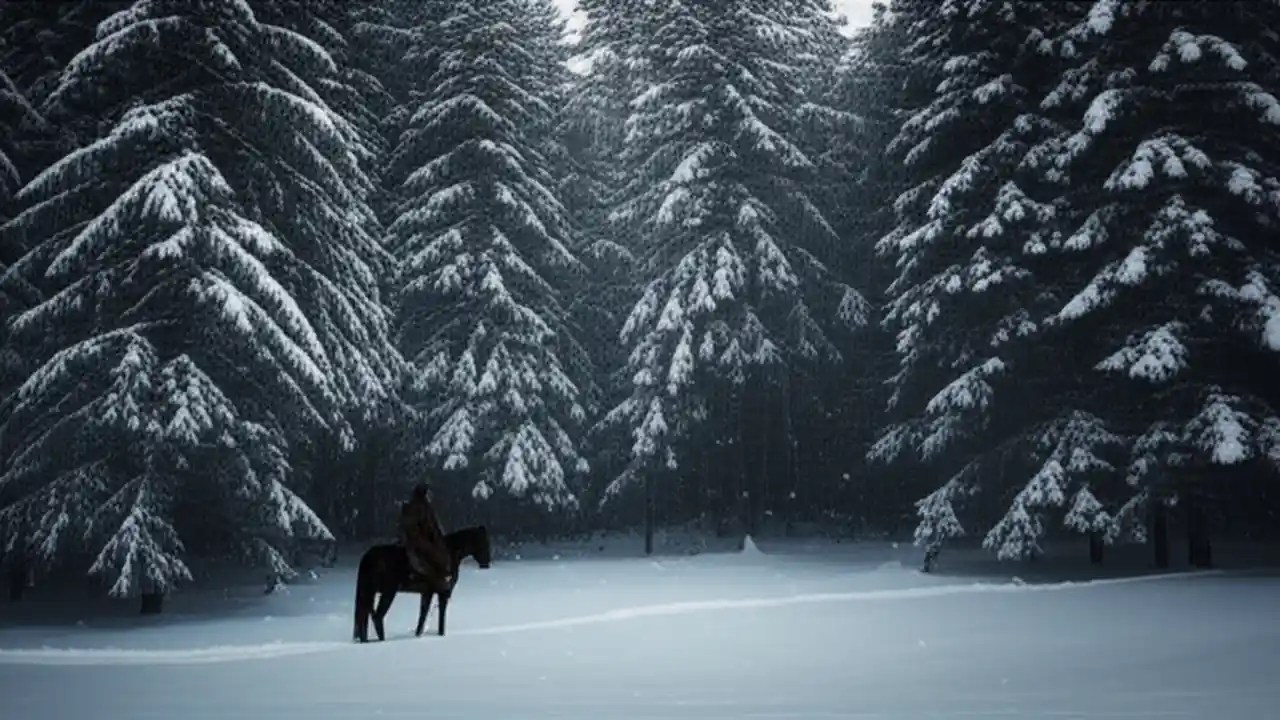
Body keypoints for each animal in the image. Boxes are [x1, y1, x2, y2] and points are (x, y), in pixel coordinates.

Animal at [353, 525, 491, 643]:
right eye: (483, 542)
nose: (486, 564)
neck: (450, 552)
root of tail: (368, 557)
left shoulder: (427, 592)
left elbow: (422, 616)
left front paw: (418, 635)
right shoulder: (444, 592)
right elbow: (440, 616)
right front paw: (441, 634)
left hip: (370, 593)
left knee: (363, 619)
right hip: (387, 592)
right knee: (376, 617)